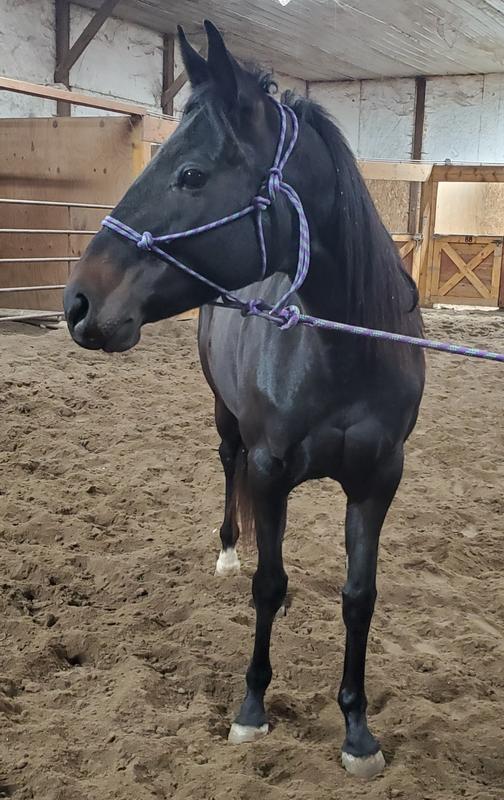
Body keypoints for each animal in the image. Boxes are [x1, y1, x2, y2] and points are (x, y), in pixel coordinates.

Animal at [64, 20, 425, 779]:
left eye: (192, 175)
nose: (76, 303)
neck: (345, 349)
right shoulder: (269, 469)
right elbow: (268, 582)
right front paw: (252, 708)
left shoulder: (378, 480)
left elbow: (359, 597)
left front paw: (357, 731)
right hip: (227, 422)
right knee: (227, 470)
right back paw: (229, 550)